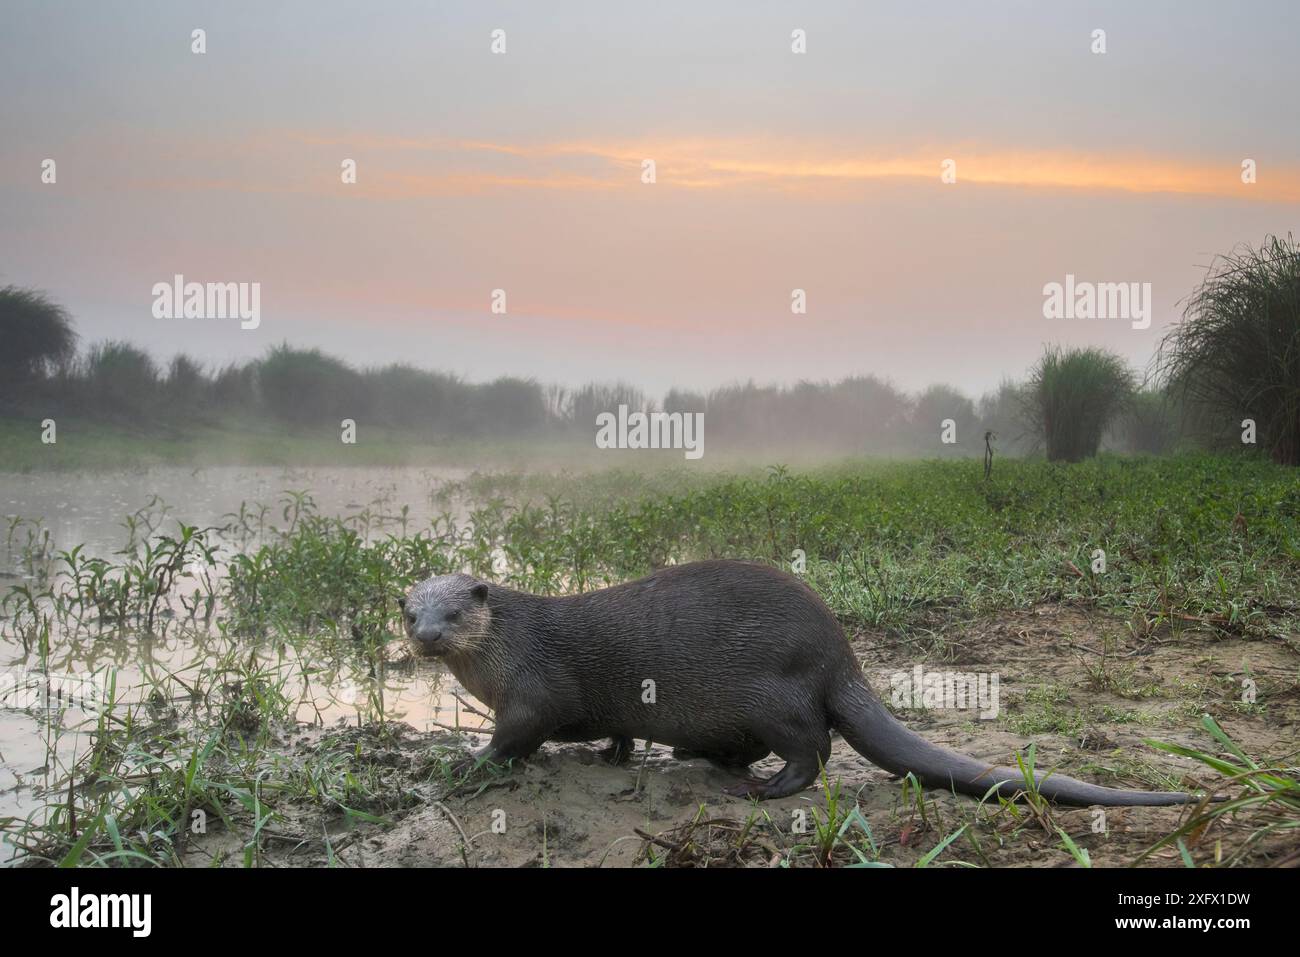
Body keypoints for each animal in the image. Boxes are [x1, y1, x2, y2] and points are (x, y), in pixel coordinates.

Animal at [399, 560, 1210, 805]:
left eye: (454, 610)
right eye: (410, 608)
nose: (427, 632)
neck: (508, 649)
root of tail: (840, 656)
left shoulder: (532, 690)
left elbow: (517, 736)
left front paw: (466, 763)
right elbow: (619, 730)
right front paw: (612, 755)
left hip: (773, 693)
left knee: (812, 747)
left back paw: (763, 789)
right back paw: (703, 759)